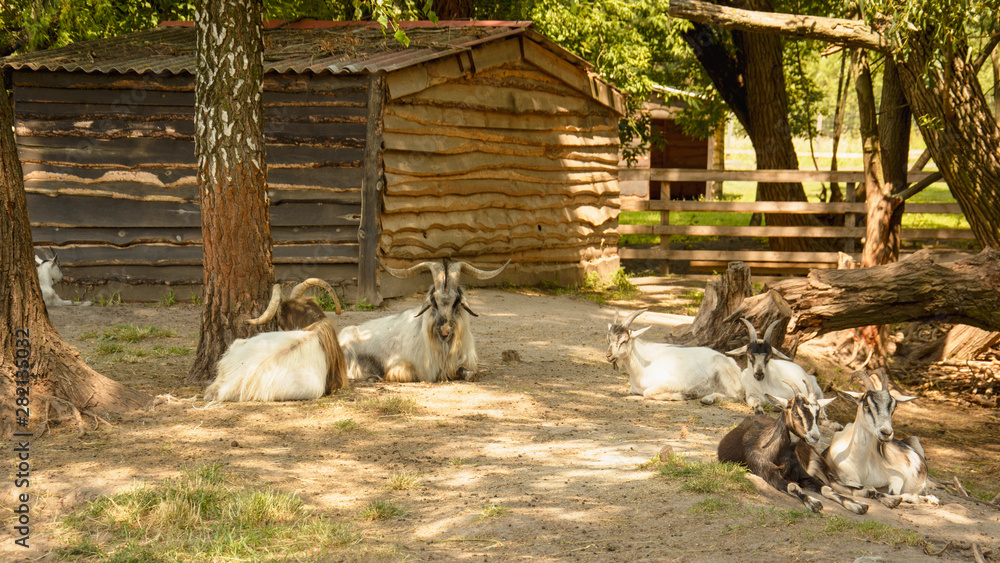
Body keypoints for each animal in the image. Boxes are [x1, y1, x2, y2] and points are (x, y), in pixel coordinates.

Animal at [605, 309, 744, 404]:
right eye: (608, 339)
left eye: (624, 340)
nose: (608, 356)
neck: (643, 365)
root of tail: (734, 364)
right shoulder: (634, 387)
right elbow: (634, 390)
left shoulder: (674, 383)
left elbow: (647, 392)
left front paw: (683, 395)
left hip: (722, 371)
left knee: (736, 396)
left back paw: (707, 398)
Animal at [718, 381, 868, 514]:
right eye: (796, 413)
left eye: (817, 414)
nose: (815, 437)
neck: (777, 453)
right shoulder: (768, 474)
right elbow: (793, 486)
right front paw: (813, 503)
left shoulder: (802, 473)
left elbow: (827, 489)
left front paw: (856, 505)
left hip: (816, 456)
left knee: (832, 480)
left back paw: (866, 491)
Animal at [823, 369, 938, 506]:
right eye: (866, 404)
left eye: (894, 406)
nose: (886, 433)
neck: (861, 465)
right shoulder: (850, 479)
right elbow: (870, 488)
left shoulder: (897, 477)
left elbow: (894, 492)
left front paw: (910, 498)